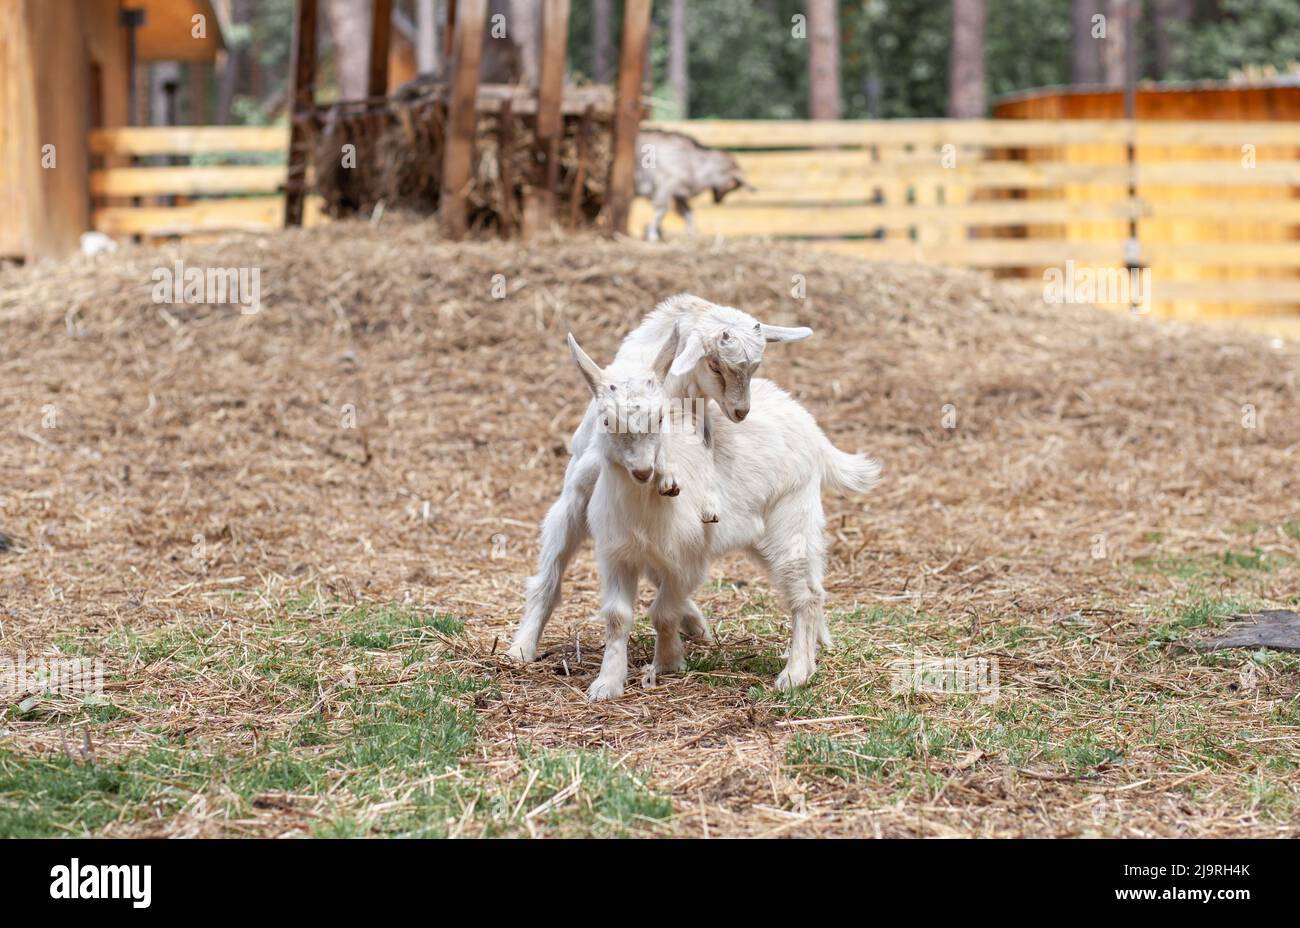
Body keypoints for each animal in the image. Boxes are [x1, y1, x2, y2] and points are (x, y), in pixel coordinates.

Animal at [505, 294, 812, 665]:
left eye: (755, 367)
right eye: (713, 364)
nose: (741, 411)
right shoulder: (578, 493)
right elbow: (551, 574)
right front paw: (521, 648)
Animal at [565, 327, 880, 700]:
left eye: (660, 418)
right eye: (606, 420)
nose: (643, 471)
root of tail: (814, 431)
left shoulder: (687, 559)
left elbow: (663, 612)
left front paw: (668, 662)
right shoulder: (616, 554)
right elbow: (617, 617)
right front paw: (606, 684)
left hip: (791, 515)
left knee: (805, 593)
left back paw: (795, 673)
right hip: (763, 537)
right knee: (813, 583)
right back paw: (818, 646)